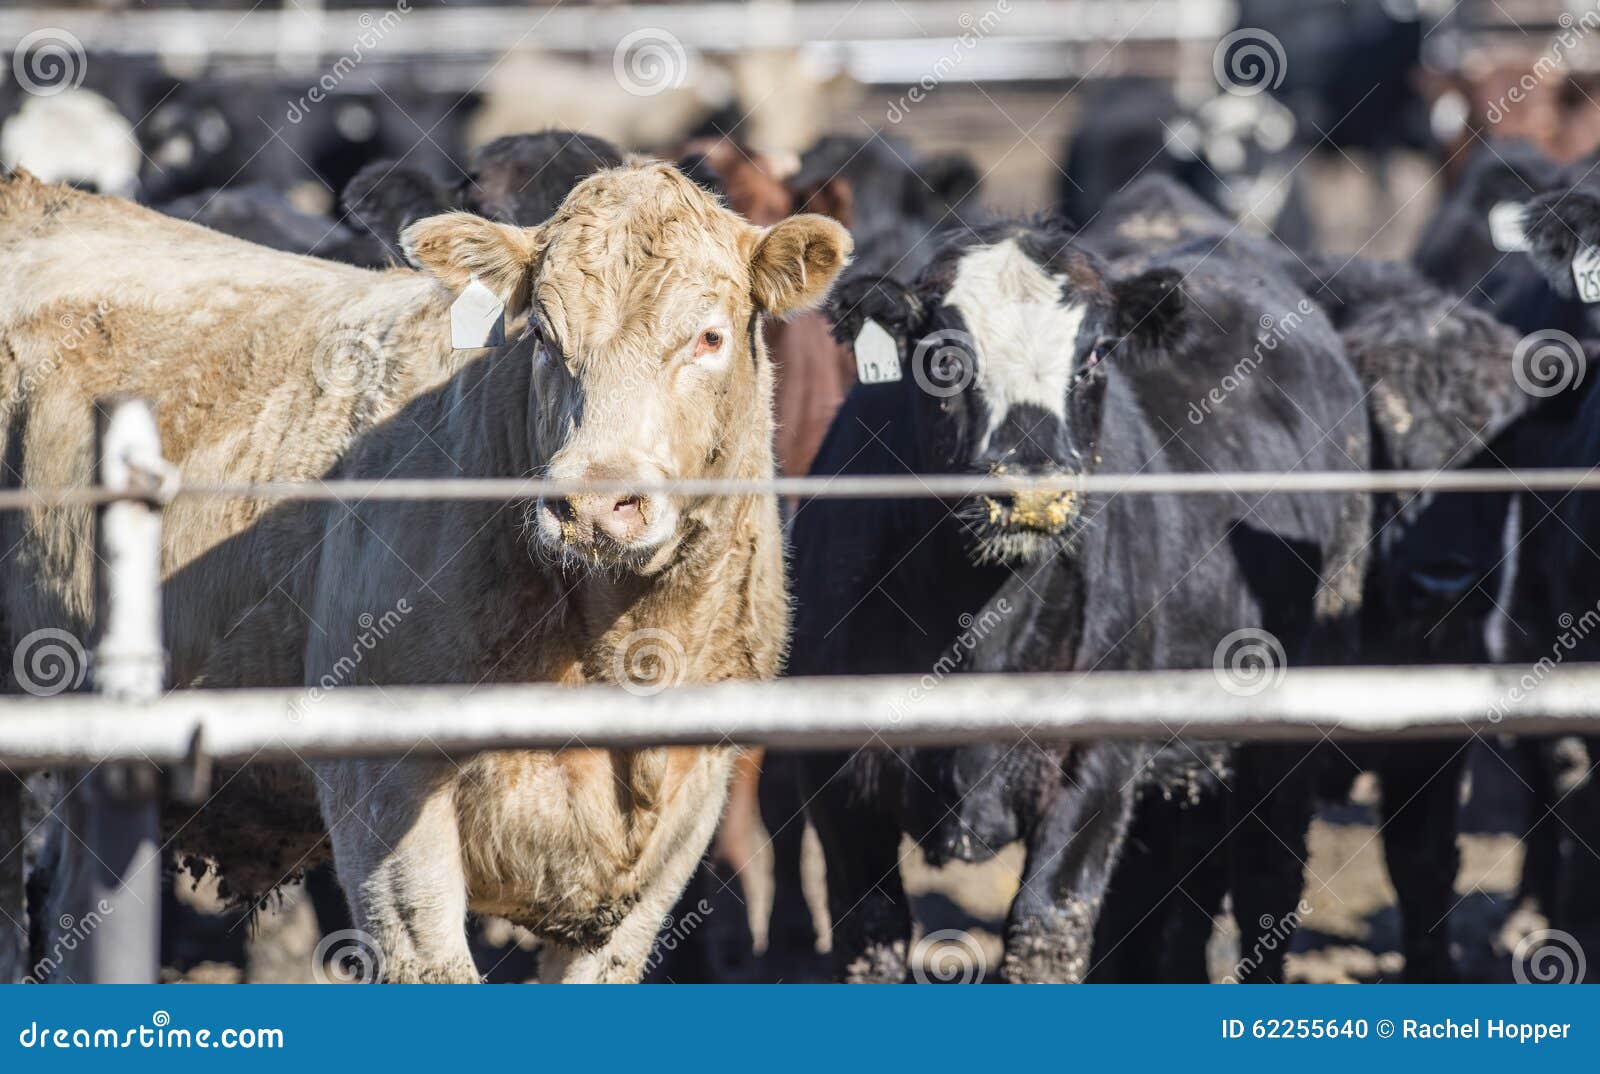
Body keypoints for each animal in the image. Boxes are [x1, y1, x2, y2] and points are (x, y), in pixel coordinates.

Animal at [0, 161, 851, 982]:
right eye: (543, 336)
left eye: (709, 337)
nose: (595, 505)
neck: (618, 640)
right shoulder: (383, 794)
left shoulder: (683, 815)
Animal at [784, 218, 1369, 982]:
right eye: (945, 359)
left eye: (1094, 356)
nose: (1032, 489)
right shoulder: (837, 784)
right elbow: (870, 935)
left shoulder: (1095, 770)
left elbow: (1045, 927)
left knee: (1268, 872)